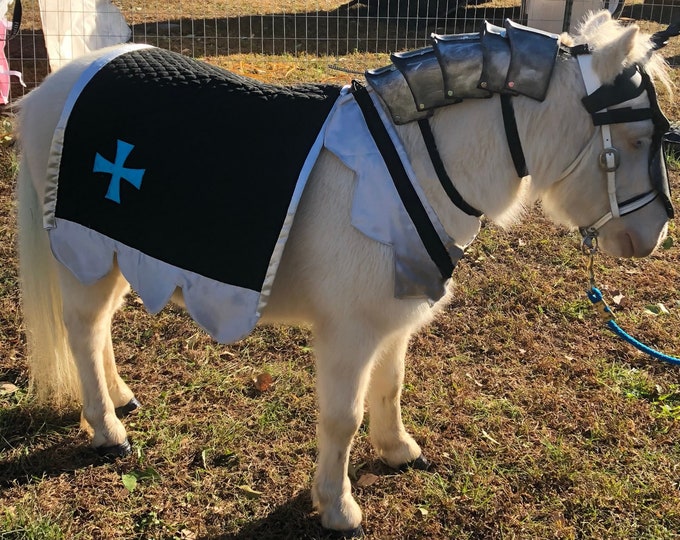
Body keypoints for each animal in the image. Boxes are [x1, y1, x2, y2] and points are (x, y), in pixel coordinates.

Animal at [14, 11, 673, 538]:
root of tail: (54, 87)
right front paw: (336, 506)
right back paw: (105, 427)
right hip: (82, 258)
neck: (414, 163)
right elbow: (342, 416)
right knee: (82, 331)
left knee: (99, 331)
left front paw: (397, 449)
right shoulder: (347, 335)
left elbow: (391, 386)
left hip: (114, 257)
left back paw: (119, 398)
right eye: (638, 137)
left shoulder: (394, 319)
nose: (654, 236)